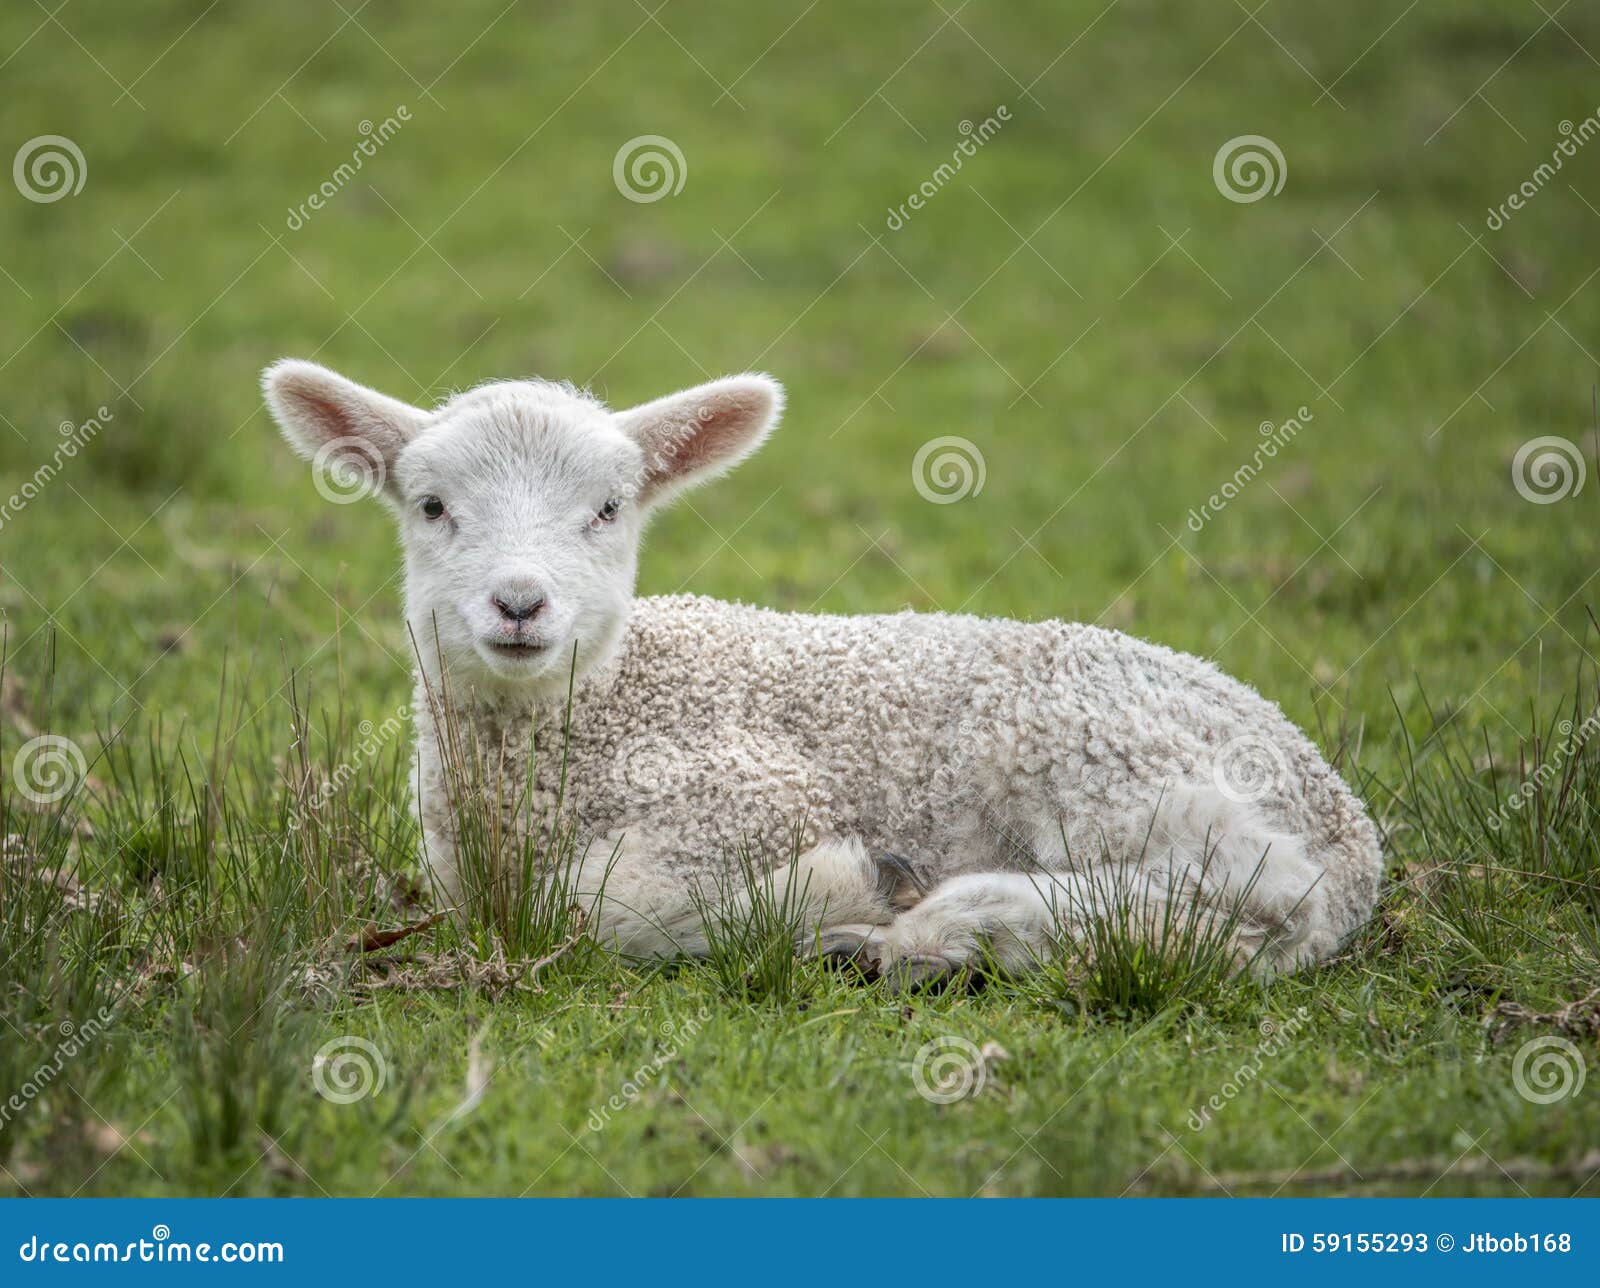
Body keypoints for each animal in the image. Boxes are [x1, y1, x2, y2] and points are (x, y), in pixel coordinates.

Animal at [262, 360, 1383, 985]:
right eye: (431, 506)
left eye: (610, 509)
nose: (520, 604)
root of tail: (1345, 819)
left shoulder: (751, 790)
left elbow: (595, 905)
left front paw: (833, 885)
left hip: (1100, 756)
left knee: (1267, 899)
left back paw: (954, 921)